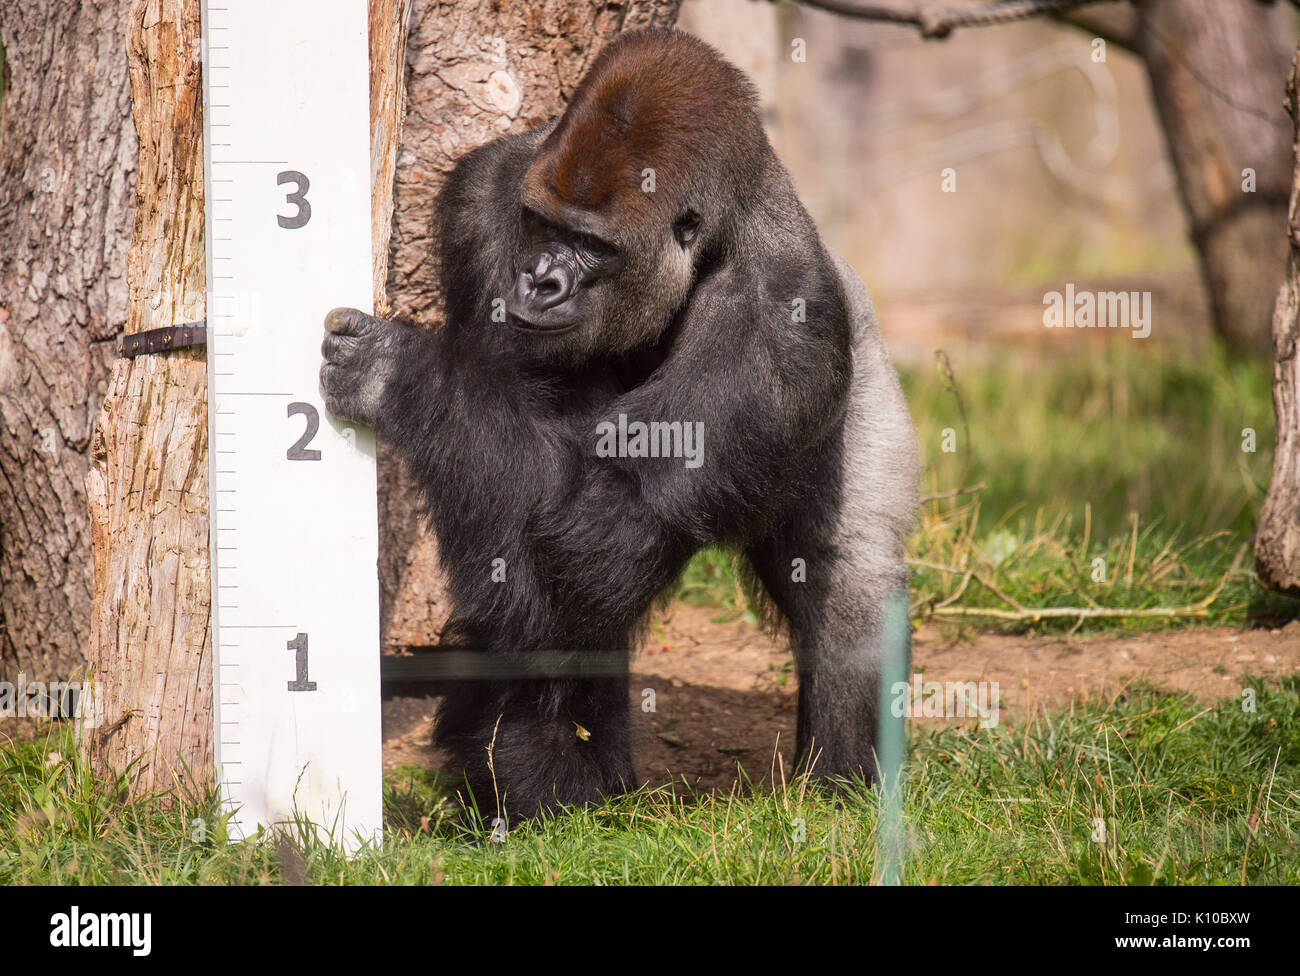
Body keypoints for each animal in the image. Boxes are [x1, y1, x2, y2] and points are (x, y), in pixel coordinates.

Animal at [320, 28, 919, 821]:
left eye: (593, 247)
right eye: (542, 226)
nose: (539, 281)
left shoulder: (785, 329)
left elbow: (592, 539)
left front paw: (402, 376)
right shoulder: (485, 198)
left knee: (848, 578)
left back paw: (839, 785)